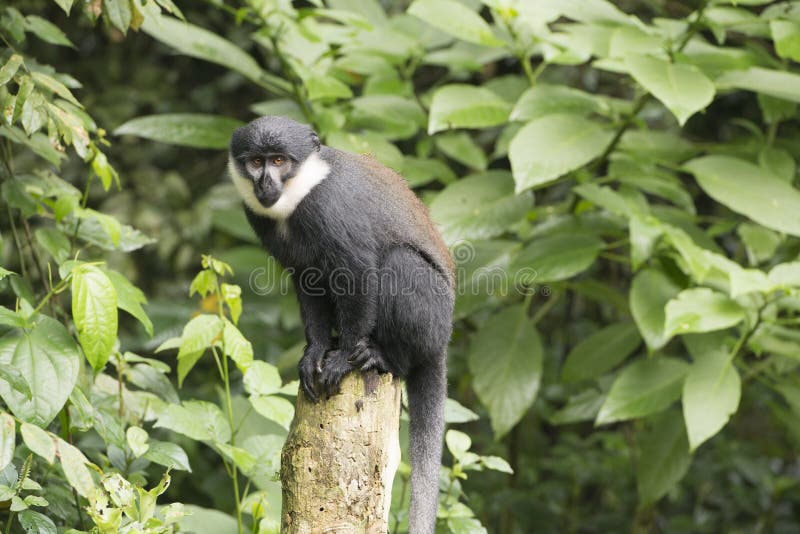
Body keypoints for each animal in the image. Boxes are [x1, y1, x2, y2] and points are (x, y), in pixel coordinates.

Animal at [228, 116, 454, 534]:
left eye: (279, 160)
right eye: (255, 161)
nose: (265, 183)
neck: (302, 191)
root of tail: (441, 343)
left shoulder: (328, 209)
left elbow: (359, 271)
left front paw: (342, 359)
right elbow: (307, 279)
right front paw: (316, 352)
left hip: (431, 318)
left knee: (398, 262)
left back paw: (380, 357)